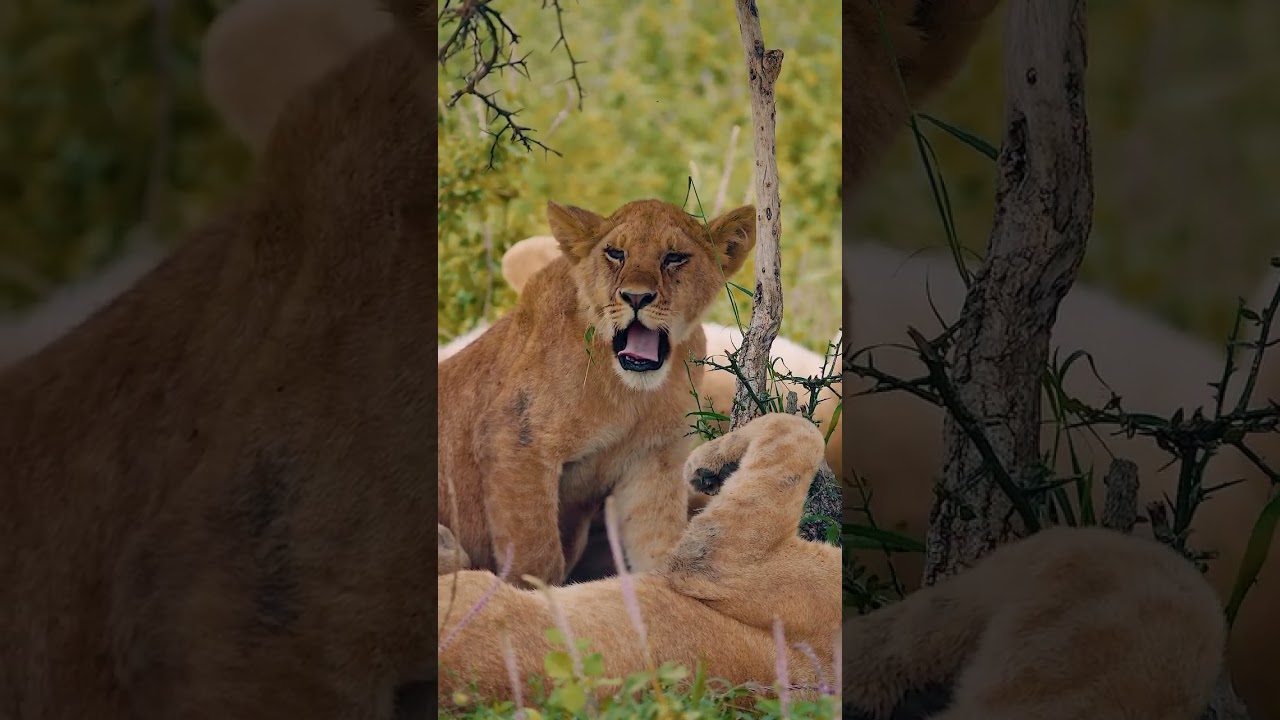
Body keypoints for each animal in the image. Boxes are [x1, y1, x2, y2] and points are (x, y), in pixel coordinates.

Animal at [437, 198, 757, 589]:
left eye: (674, 257)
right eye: (615, 253)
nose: (636, 297)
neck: (630, 393)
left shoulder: (653, 460)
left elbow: (657, 542)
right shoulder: (512, 439)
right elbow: (537, 557)